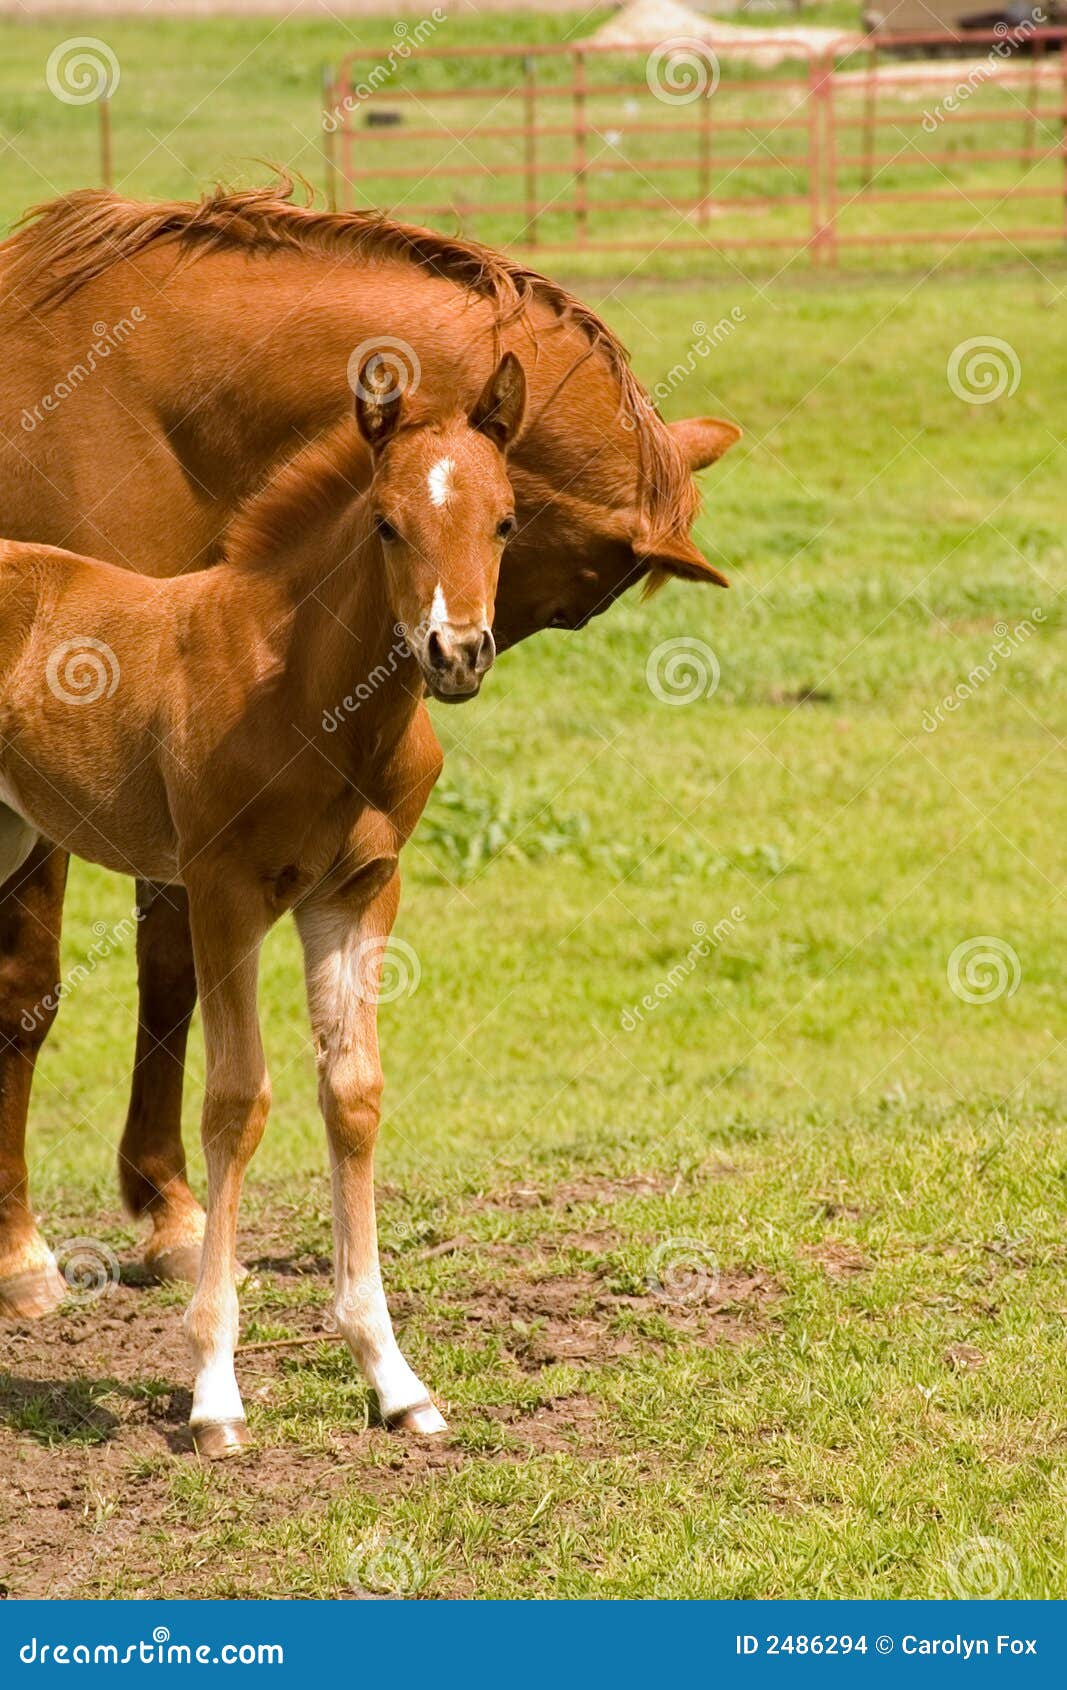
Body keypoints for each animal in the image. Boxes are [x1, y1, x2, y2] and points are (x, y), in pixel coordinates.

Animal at [0, 179, 741, 1319]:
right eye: (575, 599)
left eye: (510, 530)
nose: (449, 662)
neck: (124, 403)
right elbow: (26, 986)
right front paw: (20, 1253)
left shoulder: (168, 787)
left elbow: (170, 974)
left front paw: (170, 1212)